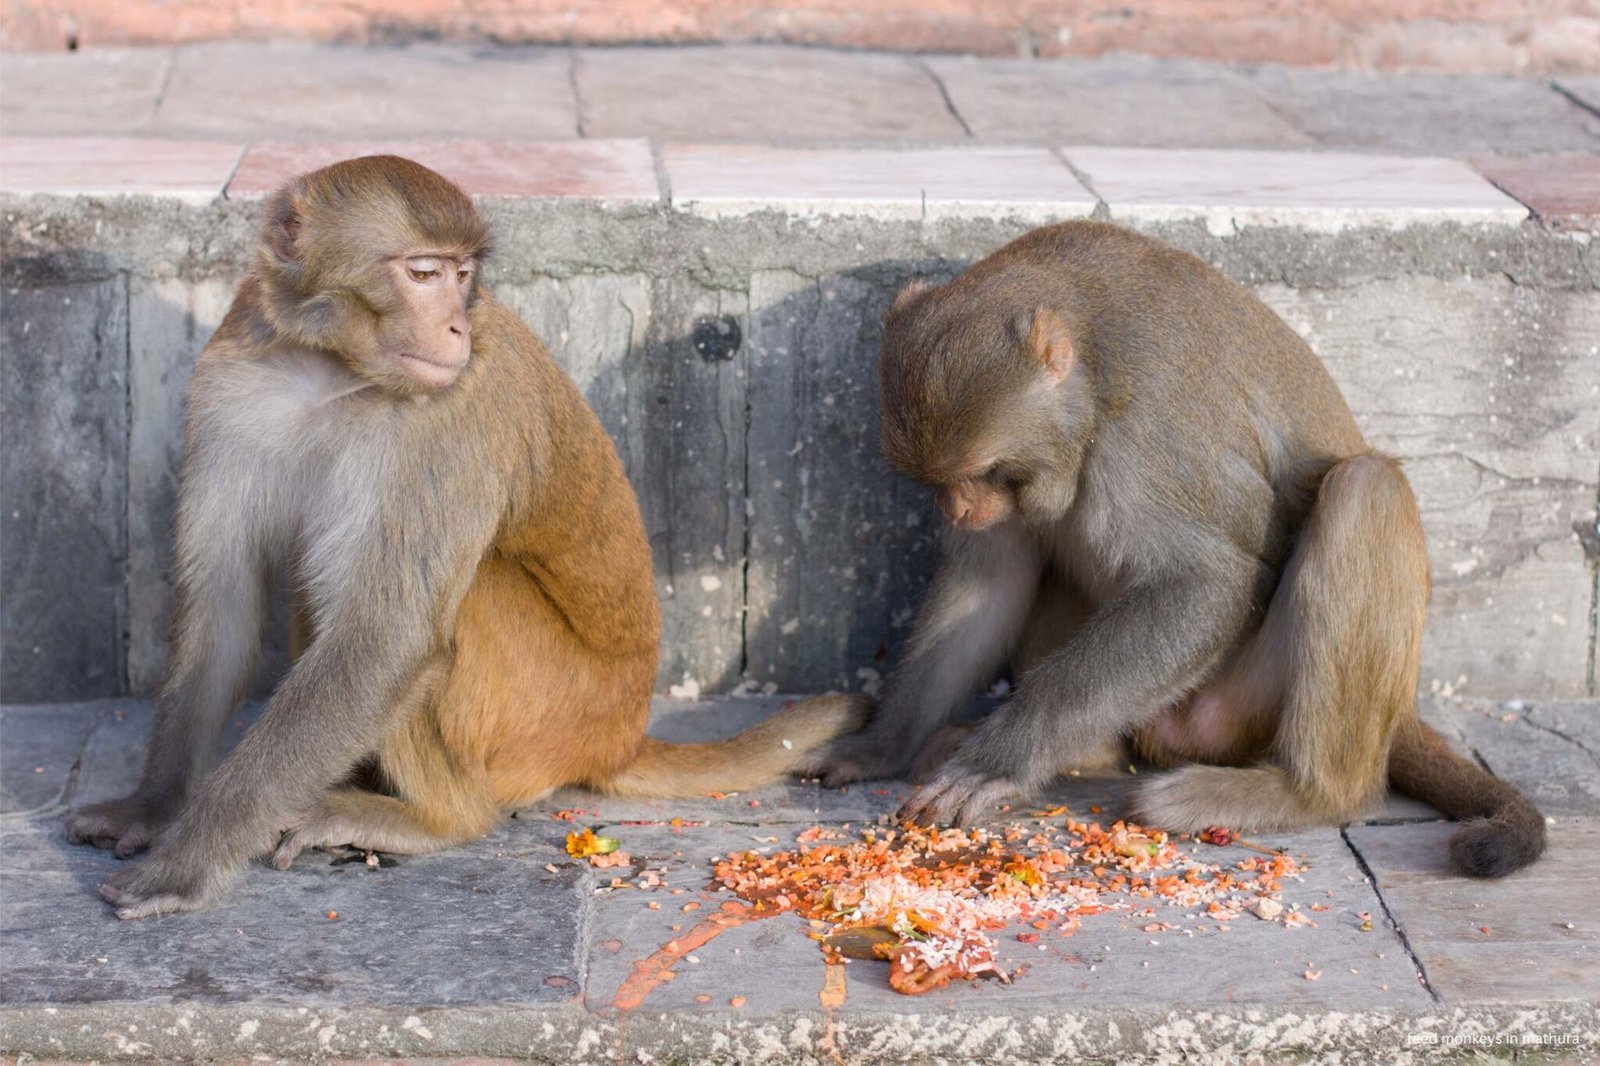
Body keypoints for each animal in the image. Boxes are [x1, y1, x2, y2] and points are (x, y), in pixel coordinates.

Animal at [64, 156, 866, 917]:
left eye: (463, 275)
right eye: (423, 273)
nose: (456, 327)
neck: (329, 368)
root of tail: (620, 734)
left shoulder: (451, 415)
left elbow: (388, 639)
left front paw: (189, 861)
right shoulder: (230, 385)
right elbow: (222, 610)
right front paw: (152, 809)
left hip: (547, 716)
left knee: (451, 600)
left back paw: (435, 819)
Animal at [806, 220, 1545, 879]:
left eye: (986, 471)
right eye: (937, 482)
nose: (959, 509)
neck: (1089, 368)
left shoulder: (1143, 438)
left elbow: (1206, 583)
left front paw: (997, 763)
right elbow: (984, 583)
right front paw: (883, 745)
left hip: (1242, 707)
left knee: (1366, 490)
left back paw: (1303, 792)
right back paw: (1087, 754)